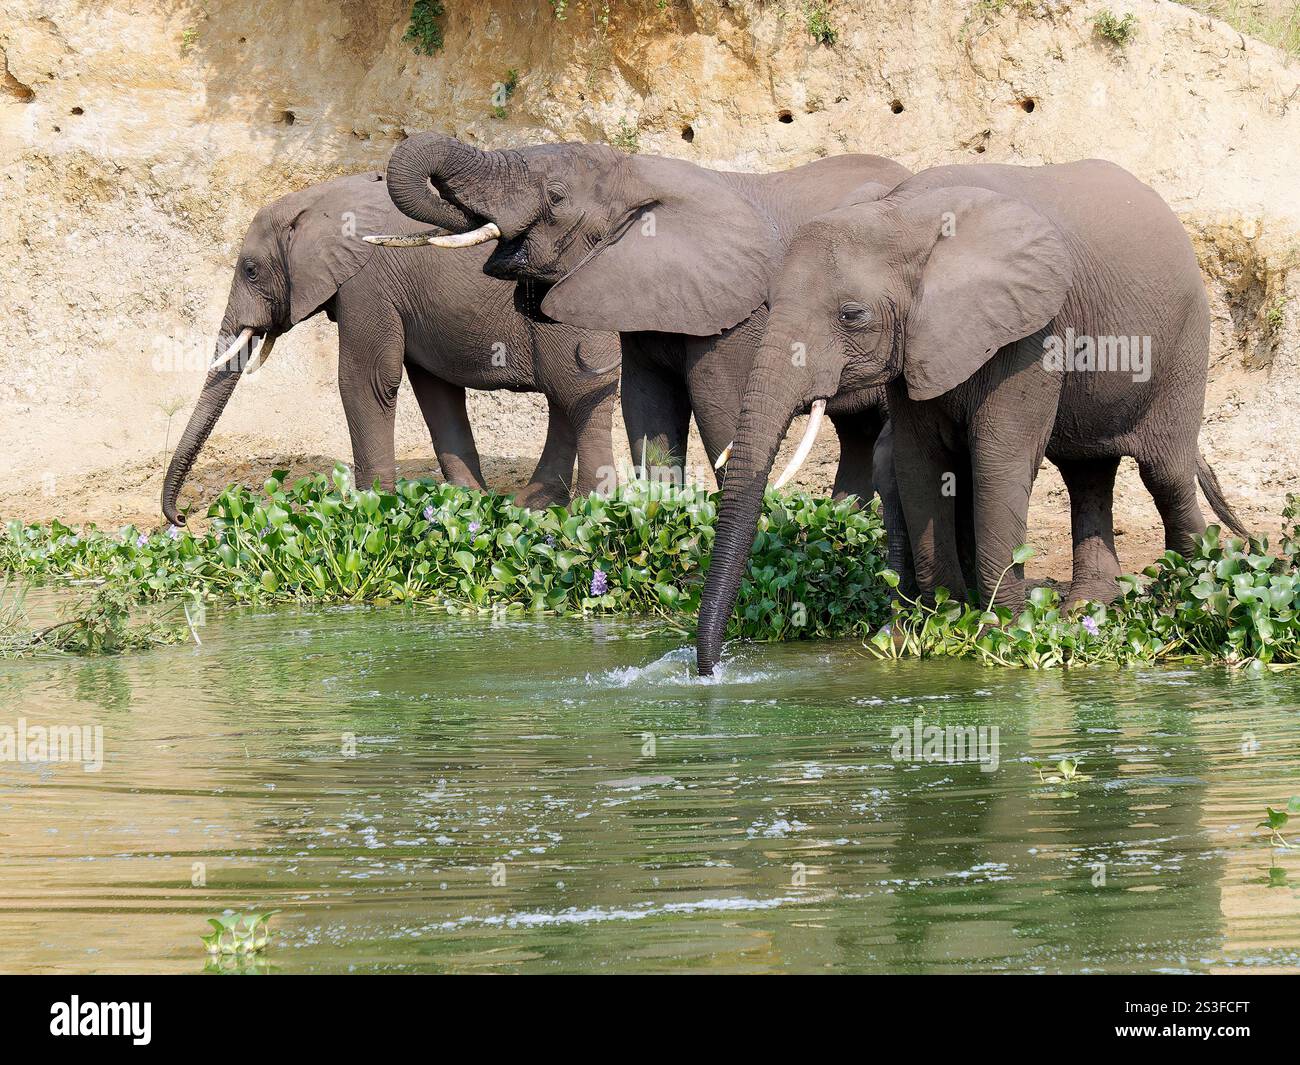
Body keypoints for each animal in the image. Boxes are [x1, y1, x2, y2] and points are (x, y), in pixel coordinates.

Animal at [161, 171, 621, 526]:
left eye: (251, 270)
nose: (180, 518)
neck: (321, 197)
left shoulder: (366, 285)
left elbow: (365, 381)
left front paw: (371, 509)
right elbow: (435, 391)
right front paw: (468, 502)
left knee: (580, 397)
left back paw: (590, 511)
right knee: (563, 399)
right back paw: (532, 506)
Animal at [366, 132, 909, 498]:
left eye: (556, 196)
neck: (641, 173)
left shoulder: (740, 309)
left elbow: (719, 407)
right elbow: (646, 407)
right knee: (859, 433)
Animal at [696, 160, 1248, 674]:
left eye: (852, 315)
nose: (710, 672)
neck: (905, 214)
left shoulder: (1030, 331)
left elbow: (996, 465)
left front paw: (1000, 634)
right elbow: (921, 466)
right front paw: (941, 626)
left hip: (1184, 342)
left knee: (1165, 473)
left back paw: (1193, 598)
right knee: (1087, 474)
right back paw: (1087, 609)